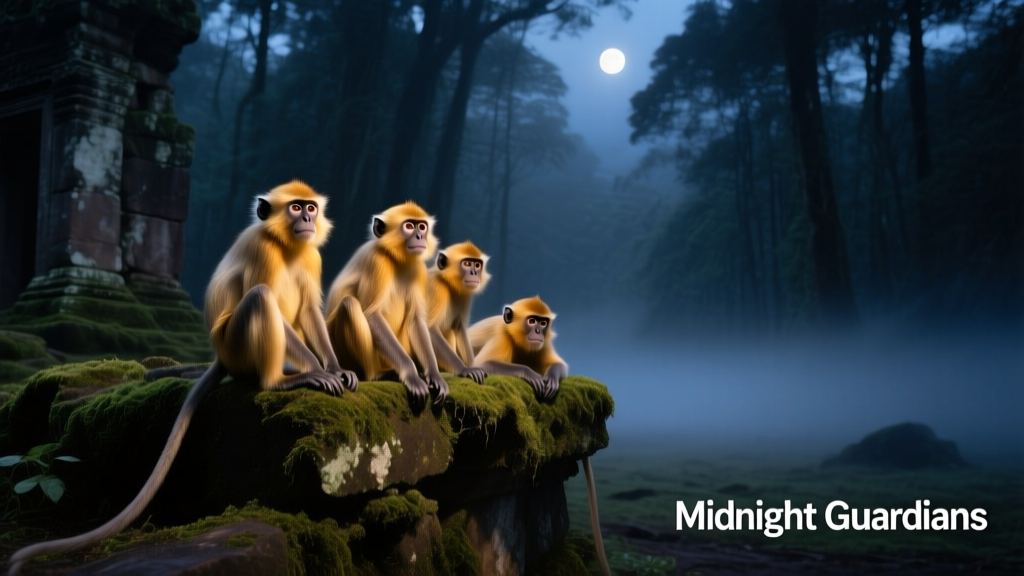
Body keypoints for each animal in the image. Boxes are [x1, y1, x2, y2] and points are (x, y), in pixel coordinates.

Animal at [7, 181, 356, 575]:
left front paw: (335, 368)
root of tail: (220, 356)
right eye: (296, 208)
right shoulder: (263, 250)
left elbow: (311, 309)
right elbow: (272, 303)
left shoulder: (310, 255)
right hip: (236, 345)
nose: (308, 218)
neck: (285, 243)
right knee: (260, 296)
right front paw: (319, 371)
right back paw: (279, 380)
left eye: (310, 207)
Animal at [325, 201, 447, 408]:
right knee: (349, 304)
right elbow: (372, 314)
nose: (420, 236)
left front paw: (434, 375)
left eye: (422, 227)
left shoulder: (419, 268)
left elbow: (416, 320)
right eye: (409, 226)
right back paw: (377, 374)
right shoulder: (376, 261)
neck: (396, 258)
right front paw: (411, 375)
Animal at [426, 241, 491, 384]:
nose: (474, 272)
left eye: (477, 265)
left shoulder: (465, 295)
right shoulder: (437, 287)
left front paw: (473, 366)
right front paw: (464, 370)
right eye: (466, 263)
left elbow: (459, 327)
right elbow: (430, 329)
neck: (447, 283)